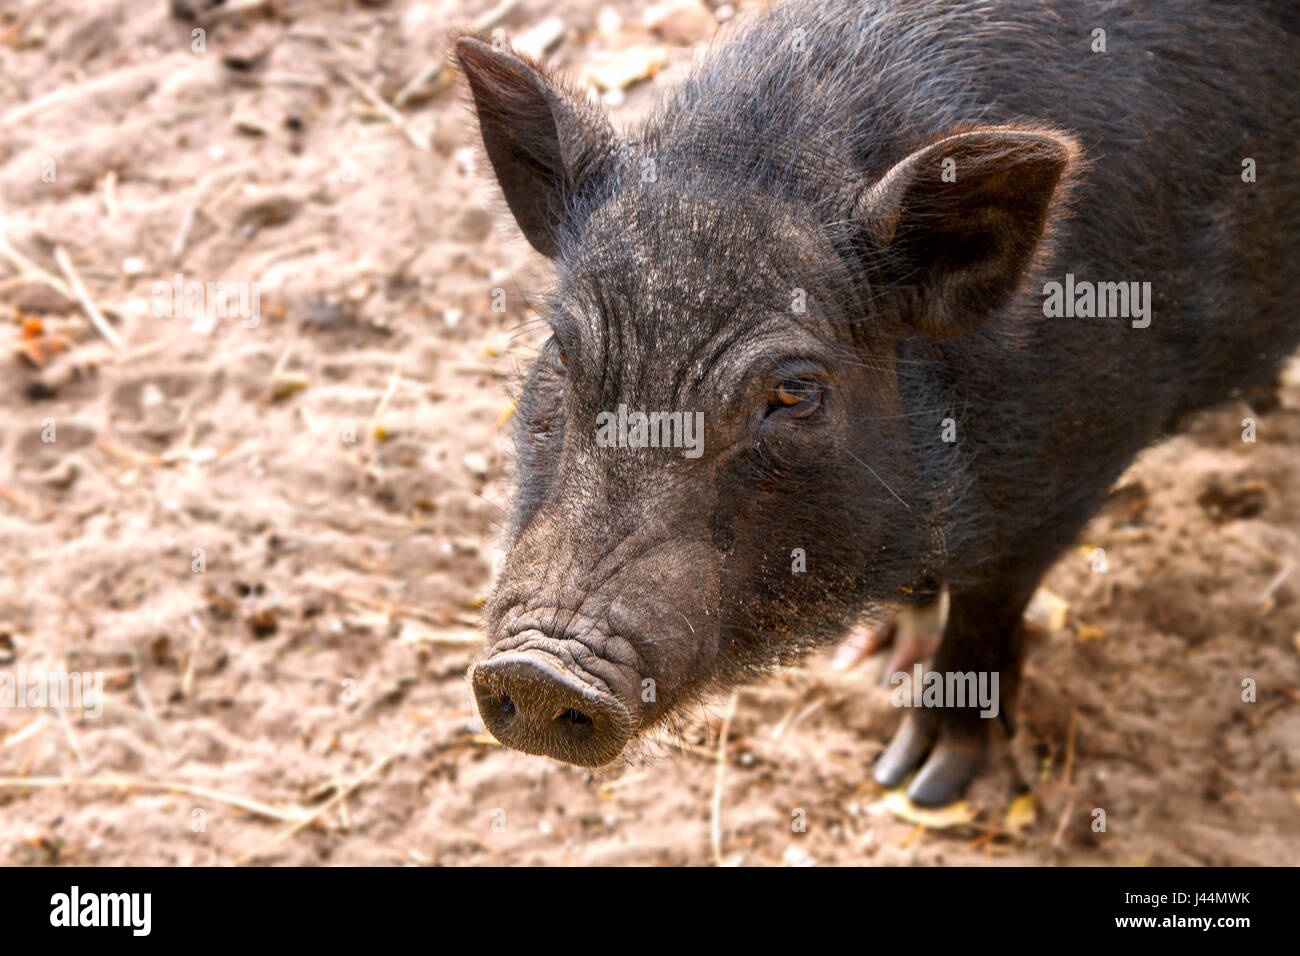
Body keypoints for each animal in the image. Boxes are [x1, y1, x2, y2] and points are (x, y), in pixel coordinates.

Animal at [456, 0, 1300, 805]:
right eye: (563, 349)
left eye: (794, 392)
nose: (538, 671)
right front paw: (877, 660)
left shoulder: (1071, 469)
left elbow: (991, 600)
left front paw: (917, 780)